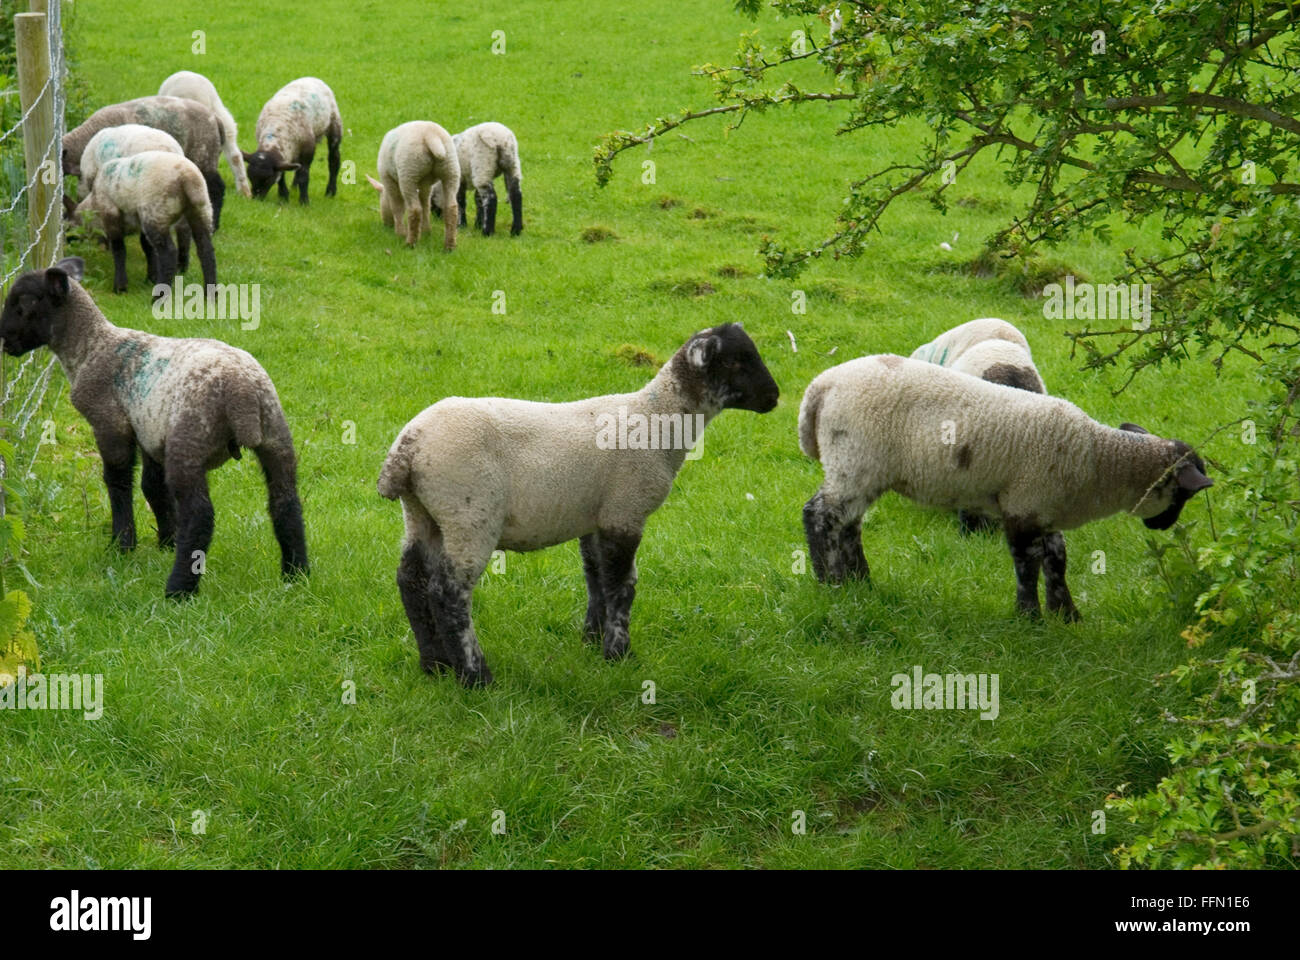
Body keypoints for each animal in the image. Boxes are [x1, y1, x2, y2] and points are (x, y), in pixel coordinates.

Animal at [0, 258, 308, 598]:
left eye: (23, 303)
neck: (89, 347)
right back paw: (296, 574)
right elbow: (153, 487)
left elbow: (118, 483)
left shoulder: (111, 423)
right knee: (285, 500)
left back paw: (179, 590)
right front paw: (165, 541)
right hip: (275, 432)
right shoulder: (149, 432)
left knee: (200, 514)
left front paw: (122, 545)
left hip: (190, 438)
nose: (3, 339)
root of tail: (242, 391)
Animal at [73, 150, 217, 296]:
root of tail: (188, 177)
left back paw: (159, 296)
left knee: (169, 254)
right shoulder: (139, 220)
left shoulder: (110, 214)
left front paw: (120, 287)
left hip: (156, 212)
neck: (93, 204)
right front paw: (150, 278)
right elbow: (147, 248)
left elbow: (119, 250)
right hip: (201, 210)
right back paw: (210, 294)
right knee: (206, 250)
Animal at [364, 121, 459, 250]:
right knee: (451, 208)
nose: (386, 224)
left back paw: (410, 242)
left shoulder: (388, 179)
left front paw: (400, 232)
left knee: (414, 209)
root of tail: (431, 135)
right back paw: (449, 246)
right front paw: (426, 231)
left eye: (380, 199)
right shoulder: (425, 185)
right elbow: (425, 204)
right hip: (450, 169)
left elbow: (397, 206)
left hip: (409, 172)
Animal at [377, 323, 779, 686]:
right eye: (738, 360)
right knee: (448, 593)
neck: (658, 420)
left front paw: (590, 640)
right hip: (470, 514)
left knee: (411, 580)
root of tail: (407, 448)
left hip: (423, 514)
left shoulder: (595, 519)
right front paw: (619, 654)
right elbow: (622, 586)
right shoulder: (625, 511)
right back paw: (476, 676)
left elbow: (595, 578)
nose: (774, 397)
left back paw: (434, 666)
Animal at [798, 354, 1212, 621]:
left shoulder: (1045, 507)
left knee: (849, 525)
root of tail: (820, 387)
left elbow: (1057, 559)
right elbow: (1027, 564)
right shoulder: (1023, 505)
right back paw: (830, 583)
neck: (1098, 462)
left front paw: (1067, 614)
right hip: (854, 459)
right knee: (819, 515)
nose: (1162, 526)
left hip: (863, 470)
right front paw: (1029, 618)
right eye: (1184, 494)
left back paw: (861, 583)